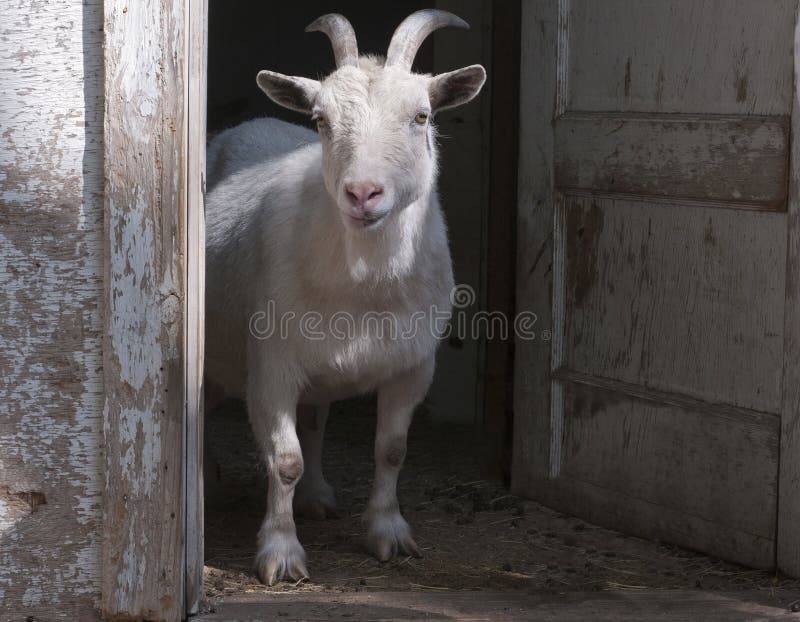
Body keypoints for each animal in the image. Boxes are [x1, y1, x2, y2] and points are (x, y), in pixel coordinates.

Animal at [205, 10, 486, 586]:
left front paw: (389, 533)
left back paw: (317, 497)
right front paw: (281, 553)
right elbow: (283, 459)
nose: (362, 194)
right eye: (320, 120)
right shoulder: (271, 367)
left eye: (421, 116)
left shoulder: (413, 365)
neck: (366, 285)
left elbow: (392, 450)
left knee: (315, 423)